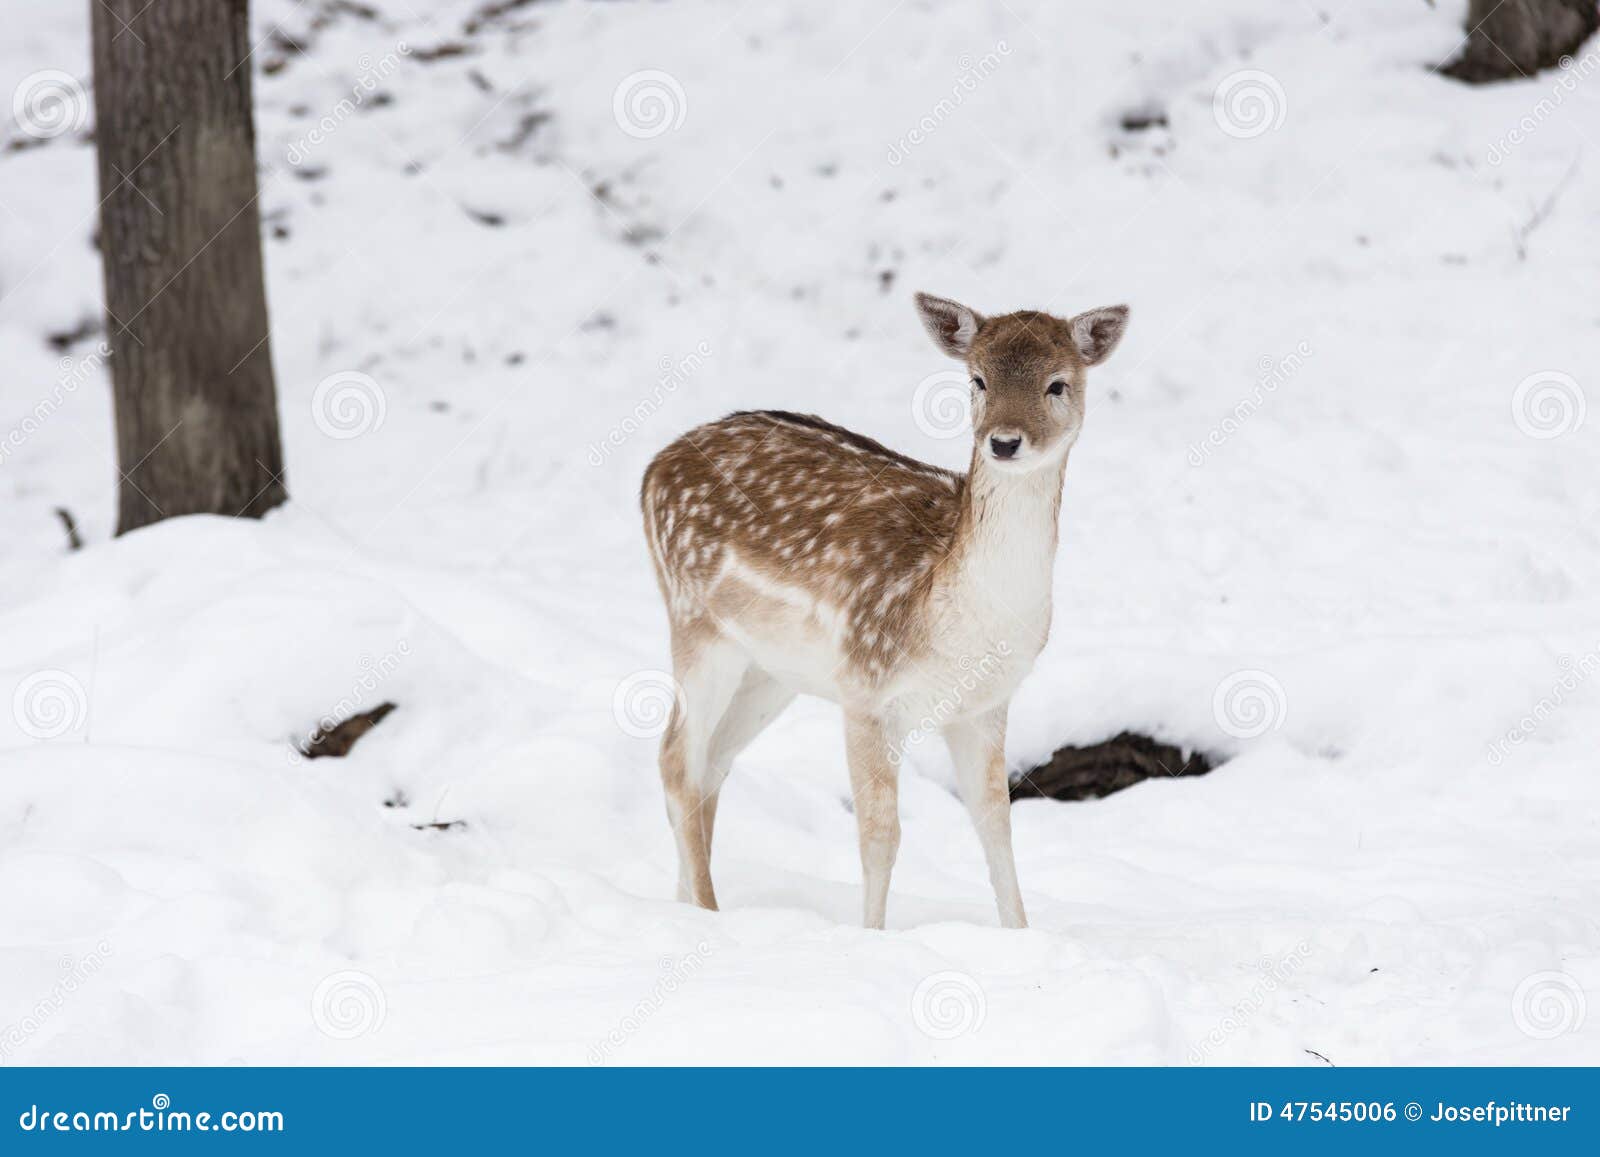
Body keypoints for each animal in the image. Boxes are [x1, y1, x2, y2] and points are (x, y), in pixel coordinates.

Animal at [640, 293, 1129, 929]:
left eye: (1057, 383)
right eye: (977, 379)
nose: (1003, 442)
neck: (956, 621)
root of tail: (652, 469)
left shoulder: (985, 705)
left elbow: (996, 828)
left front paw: (1021, 935)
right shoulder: (865, 688)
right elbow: (880, 836)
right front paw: (871, 937)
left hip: (769, 670)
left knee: (712, 761)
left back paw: (686, 908)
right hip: (696, 623)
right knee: (676, 758)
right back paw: (708, 911)